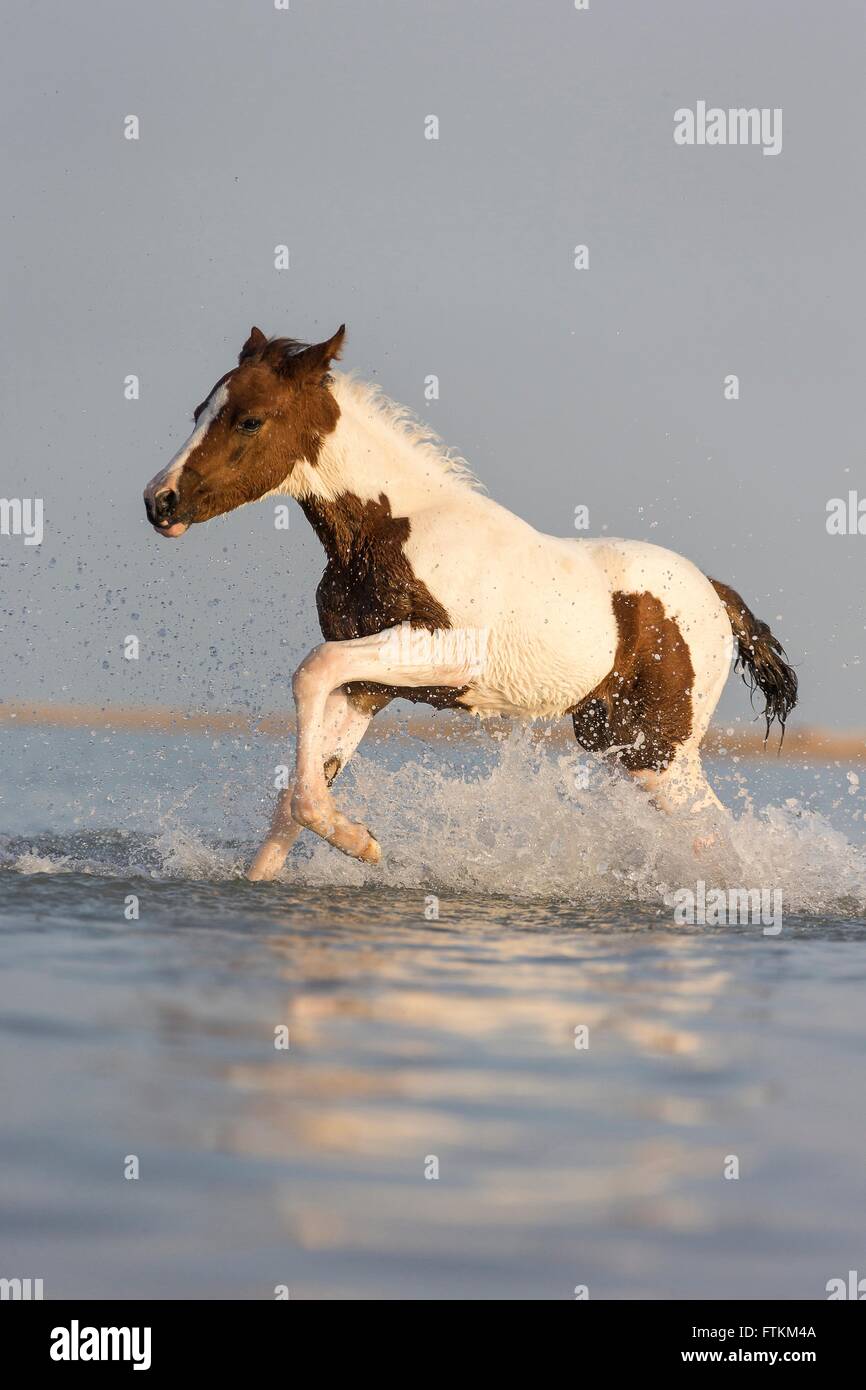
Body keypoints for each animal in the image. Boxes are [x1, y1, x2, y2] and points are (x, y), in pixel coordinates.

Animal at [143, 326, 798, 882]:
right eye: (199, 412)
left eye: (250, 421)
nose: (159, 501)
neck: (391, 528)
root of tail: (715, 594)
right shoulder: (367, 685)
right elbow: (297, 786)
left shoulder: (446, 655)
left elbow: (309, 672)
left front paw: (362, 844)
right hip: (616, 740)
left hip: (659, 747)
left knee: (709, 832)